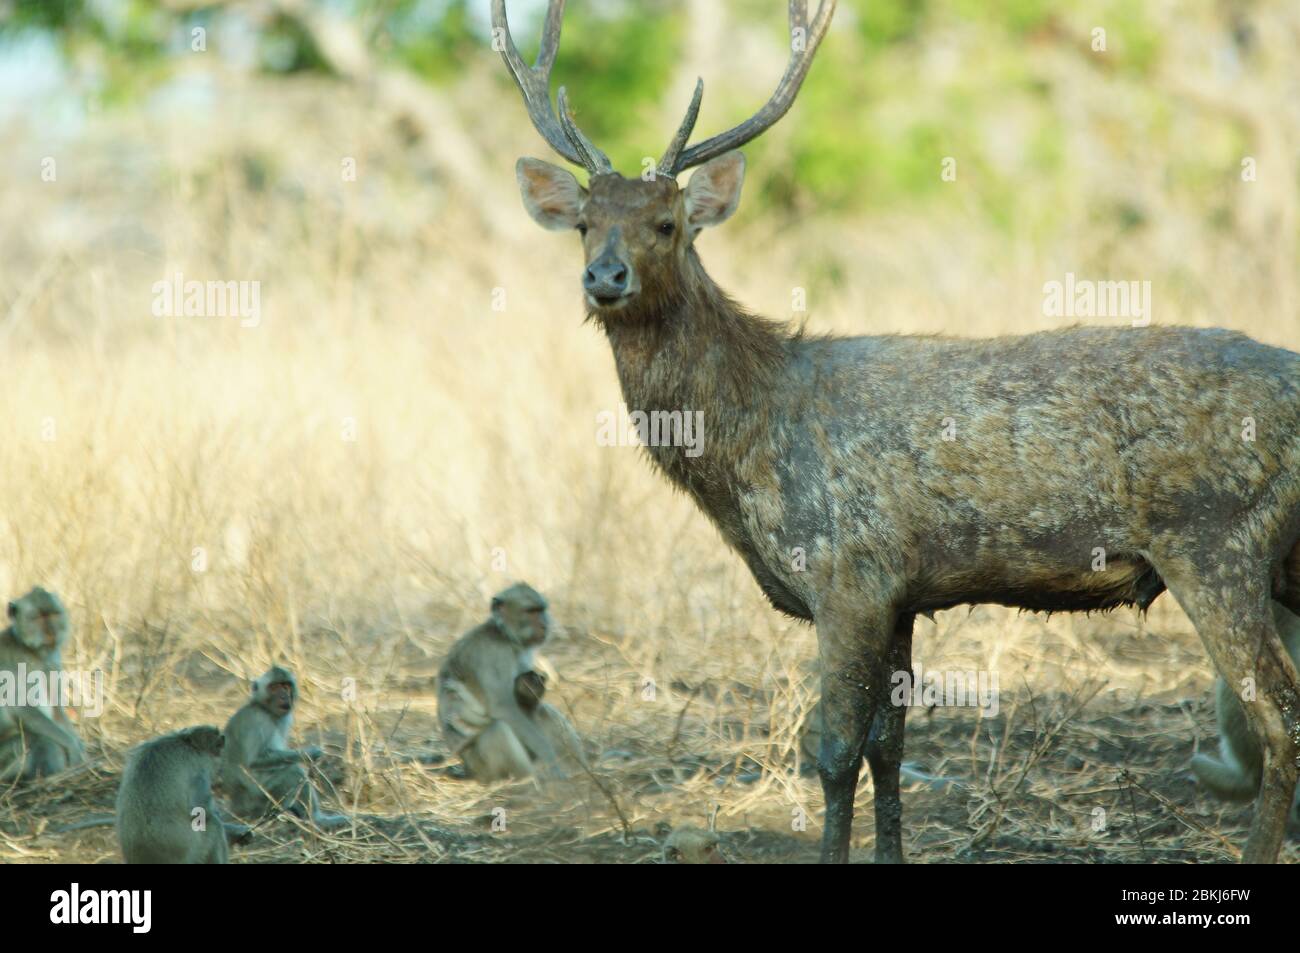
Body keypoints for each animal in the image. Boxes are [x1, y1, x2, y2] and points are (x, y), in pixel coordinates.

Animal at [492, 0, 1300, 864]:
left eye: (667, 221)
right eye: (584, 222)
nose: (605, 277)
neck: (746, 451)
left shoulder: (848, 570)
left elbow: (835, 748)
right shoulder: (902, 592)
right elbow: (890, 743)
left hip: (1215, 537)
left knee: (1281, 717)